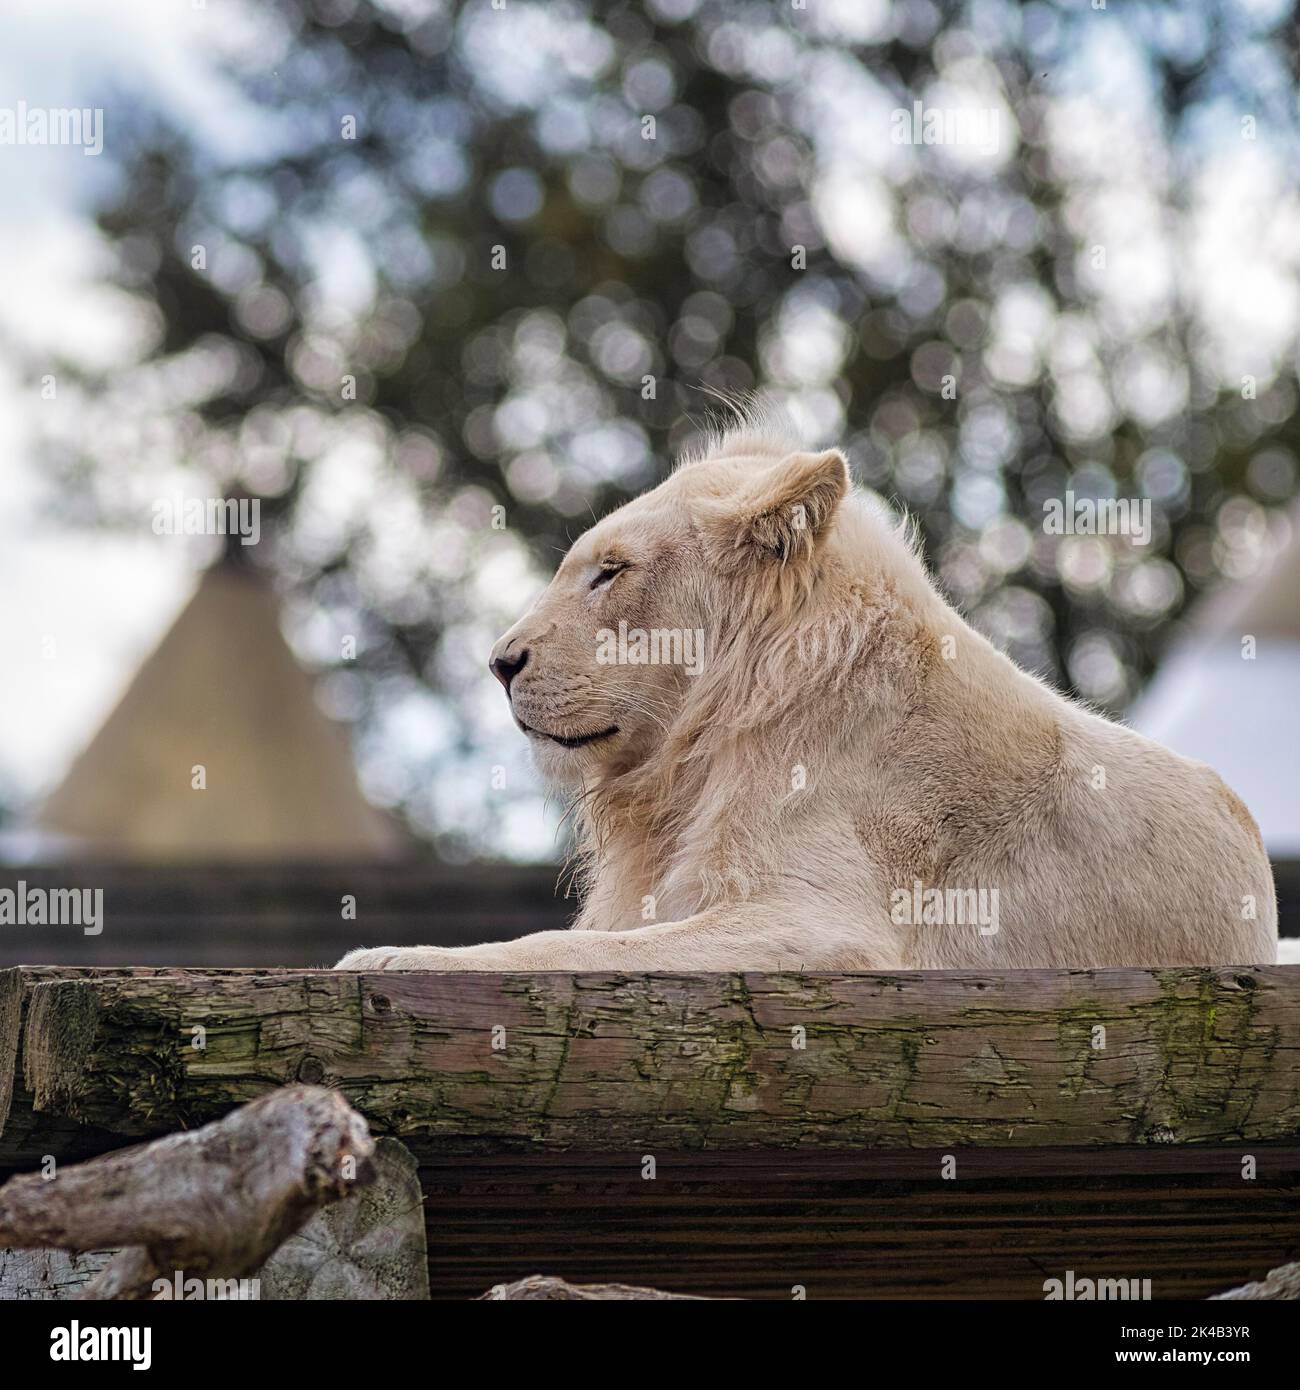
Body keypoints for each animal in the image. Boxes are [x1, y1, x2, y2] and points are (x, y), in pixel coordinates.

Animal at [338, 410, 1277, 971]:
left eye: (610, 571)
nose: (500, 662)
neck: (696, 761)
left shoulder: (831, 928)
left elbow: (568, 951)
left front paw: (394, 959)